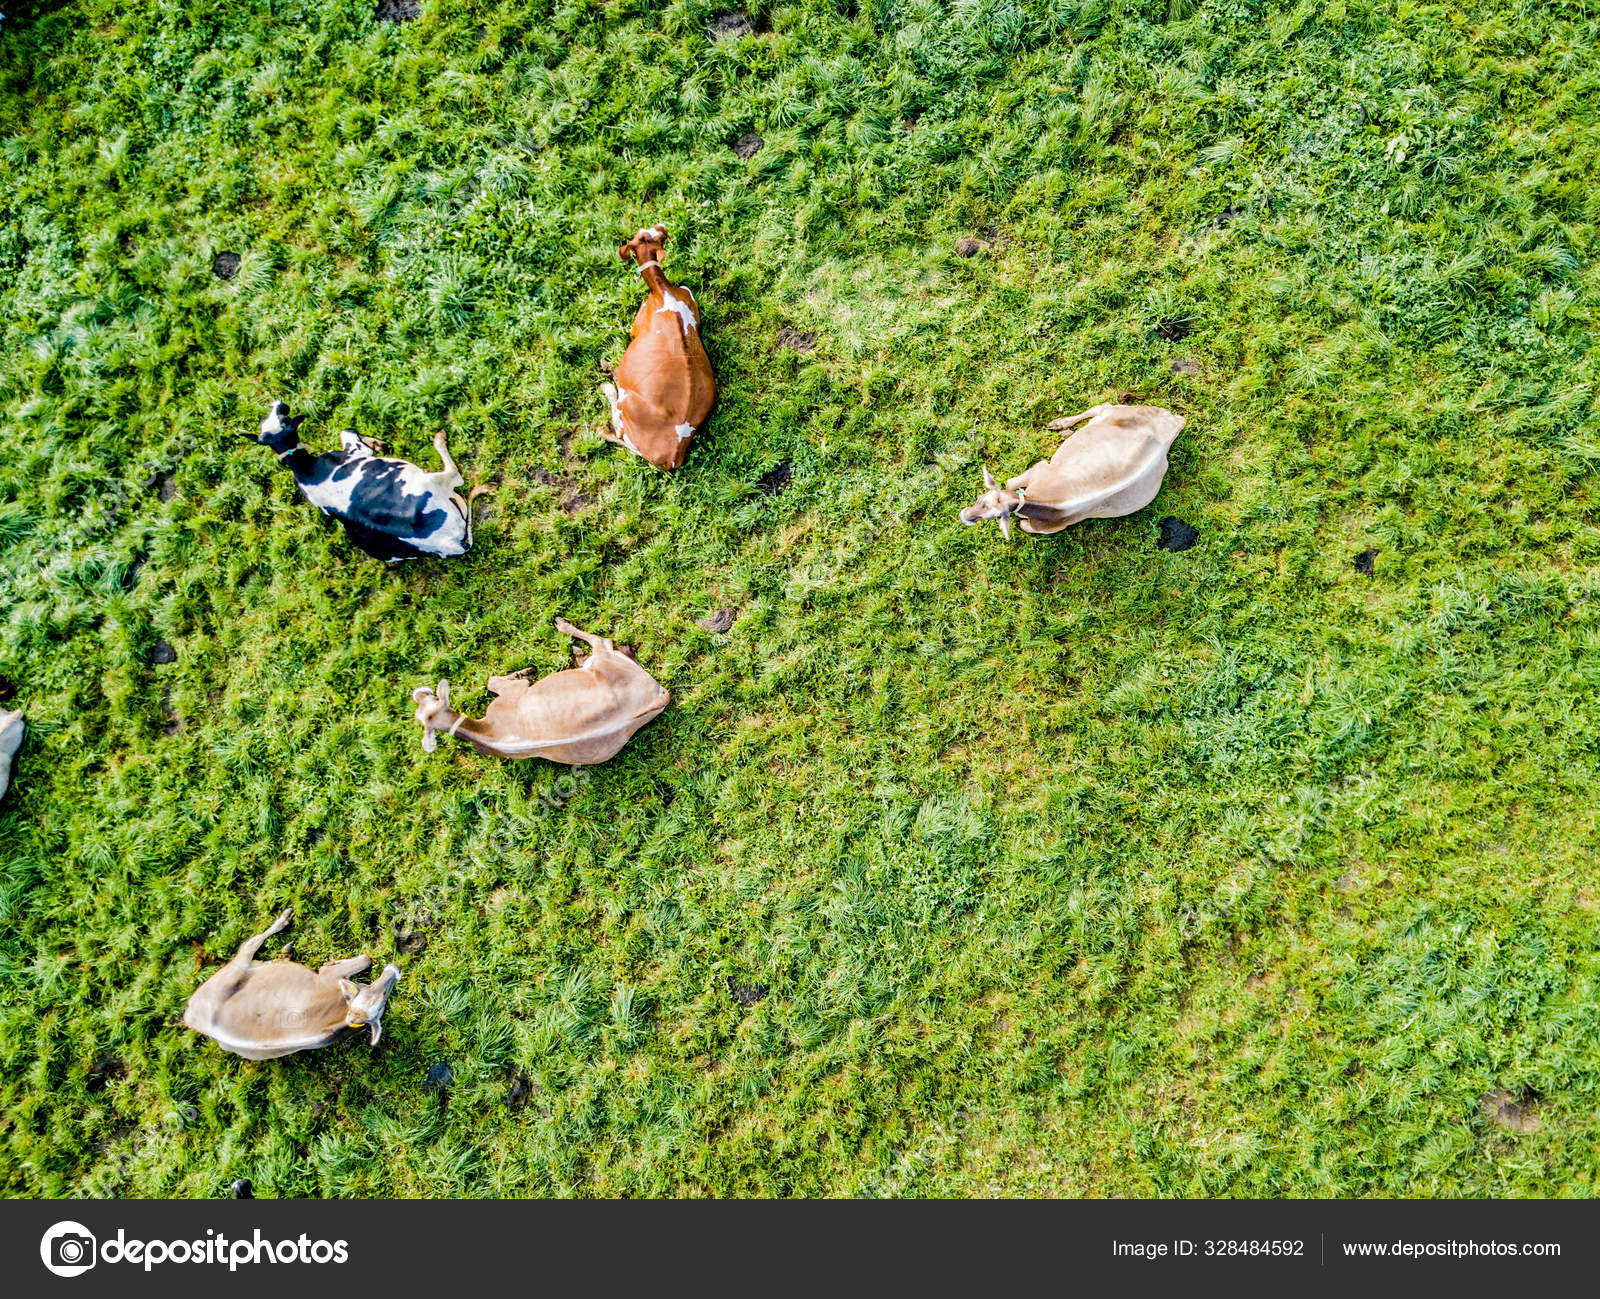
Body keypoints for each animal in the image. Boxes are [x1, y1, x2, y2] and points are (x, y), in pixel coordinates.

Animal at [183, 908, 401, 1061]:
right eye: (378, 993)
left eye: (383, 1001)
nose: (395, 971)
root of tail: (191, 1016)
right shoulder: (326, 975)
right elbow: (366, 959)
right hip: (234, 969)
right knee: (251, 943)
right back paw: (284, 920)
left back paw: (284, 954)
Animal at [243, 401, 488, 563]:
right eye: (284, 419)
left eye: (271, 421)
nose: (278, 403)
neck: (304, 468)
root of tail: (452, 542)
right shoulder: (356, 451)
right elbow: (347, 431)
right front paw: (377, 442)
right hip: (429, 480)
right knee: (455, 473)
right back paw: (440, 439)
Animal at [412, 618, 669, 763]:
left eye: (432, 698)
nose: (420, 692)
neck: (487, 732)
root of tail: (658, 697)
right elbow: (492, 681)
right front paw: (525, 672)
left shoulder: (512, 694)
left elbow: (490, 681)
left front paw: (524, 672)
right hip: (603, 663)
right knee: (601, 643)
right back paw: (574, 646)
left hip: (603, 661)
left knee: (601, 640)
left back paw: (561, 625)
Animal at [599, 224, 716, 471]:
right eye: (646, 234)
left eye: (640, 237)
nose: (661, 226)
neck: (662, 290)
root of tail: (673, 457)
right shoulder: (689, 294)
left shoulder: (636, 322)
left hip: (628, 404)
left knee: (617, 427)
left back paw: (607, 383)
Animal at [960, 403, 1185, 538]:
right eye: (979, 499)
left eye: (992, 517)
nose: (964, 516)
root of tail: (1173, 422)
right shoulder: (1040, 469)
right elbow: (1011, 484)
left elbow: (1016, 502)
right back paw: (1062, 426)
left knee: (1104, 406)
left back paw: (1062, 425)